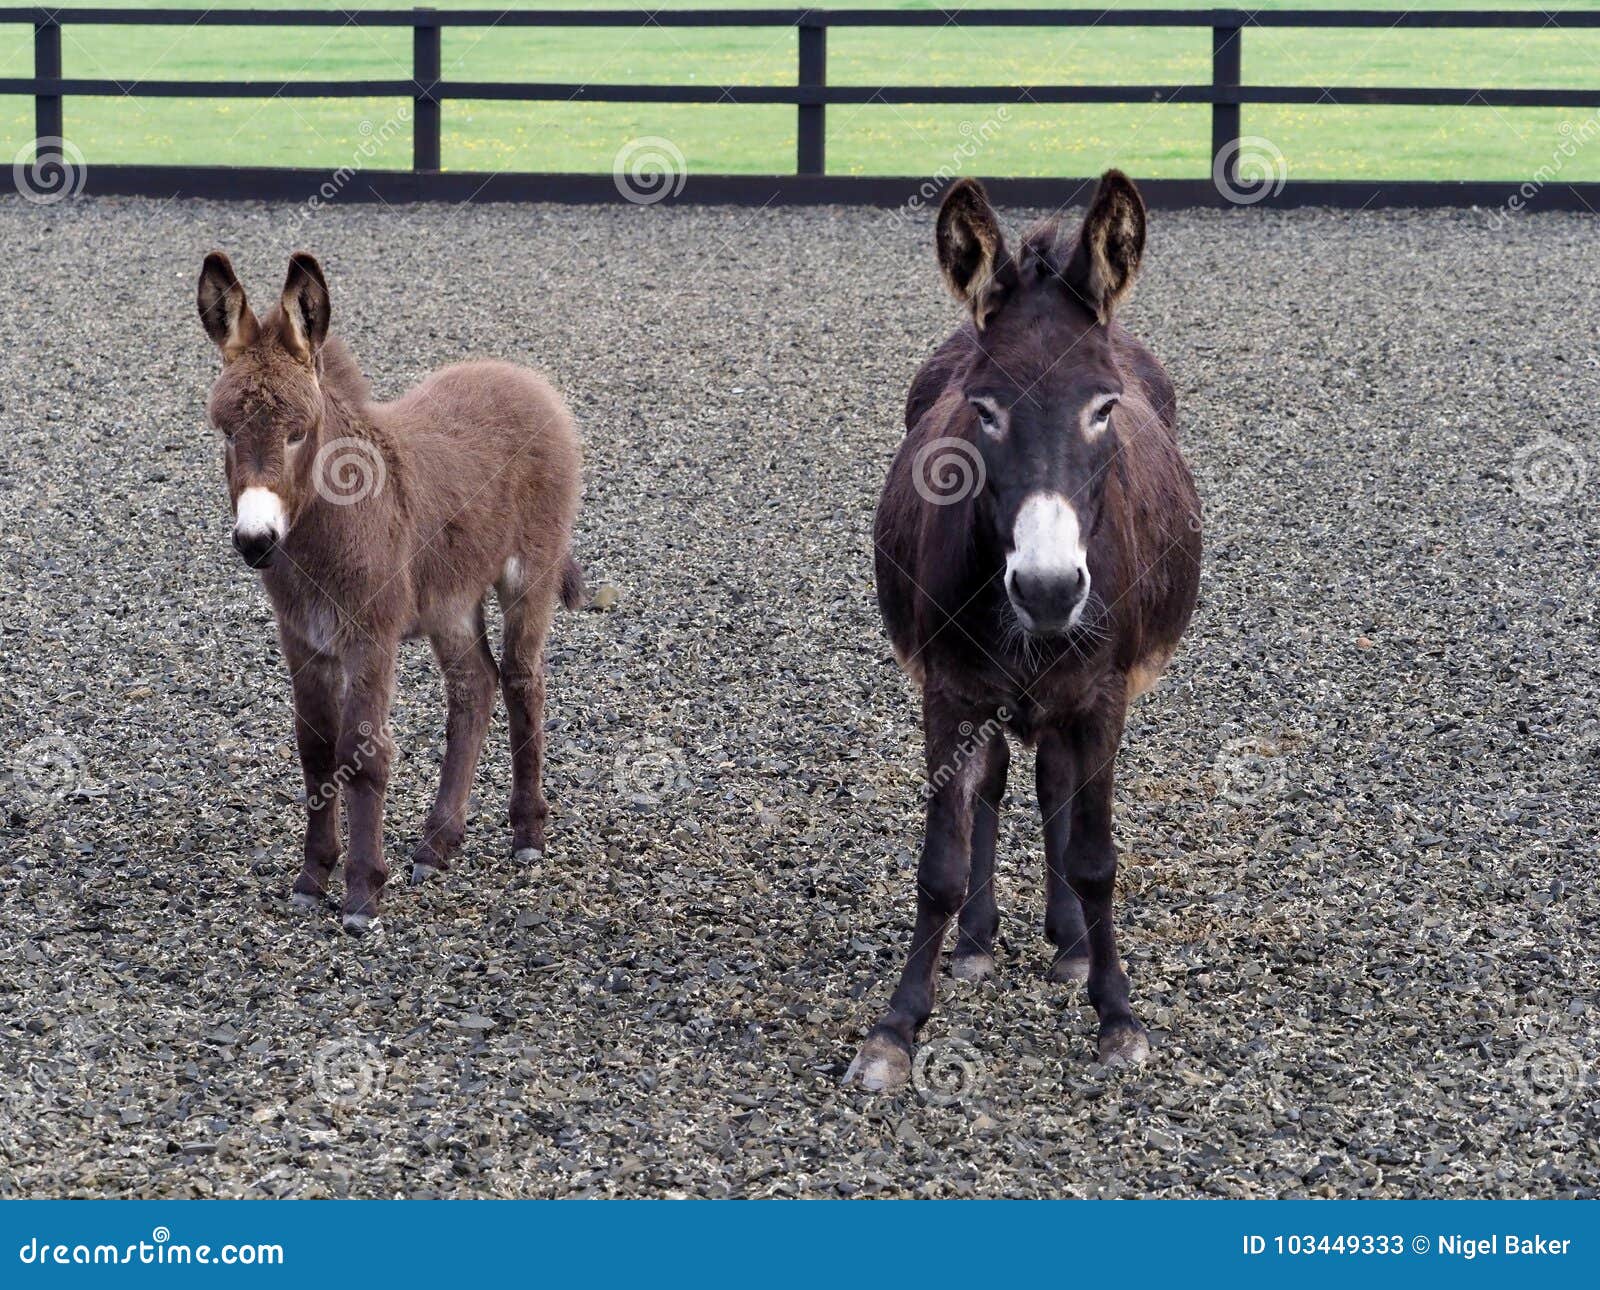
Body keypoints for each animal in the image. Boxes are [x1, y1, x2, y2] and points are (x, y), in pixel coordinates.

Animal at [197, 251, 584, 934]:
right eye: (225, 432)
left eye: (298, 433)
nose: (255, 541)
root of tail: (519, 375)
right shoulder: (304, 640)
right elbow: (316, 751)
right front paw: (312, 878)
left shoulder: (370, 637)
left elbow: (364, 752)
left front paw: (360, 896)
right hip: (449, 600)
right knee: (474, 687)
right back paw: (437, 843)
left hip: (527, 577)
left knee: (521, 680)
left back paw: (527, 834)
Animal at [847, 171, 1202, 1089]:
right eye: (985, 411)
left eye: (1103, 408)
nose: (1046, 589)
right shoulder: (949, 694)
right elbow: (939, 863)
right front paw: (898, 1026)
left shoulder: (1103, 696)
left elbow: (1096, 856)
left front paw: (1117, 1015)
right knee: (1001, 786)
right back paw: (976, 942)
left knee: (1057, 791)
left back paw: (1072, 946)